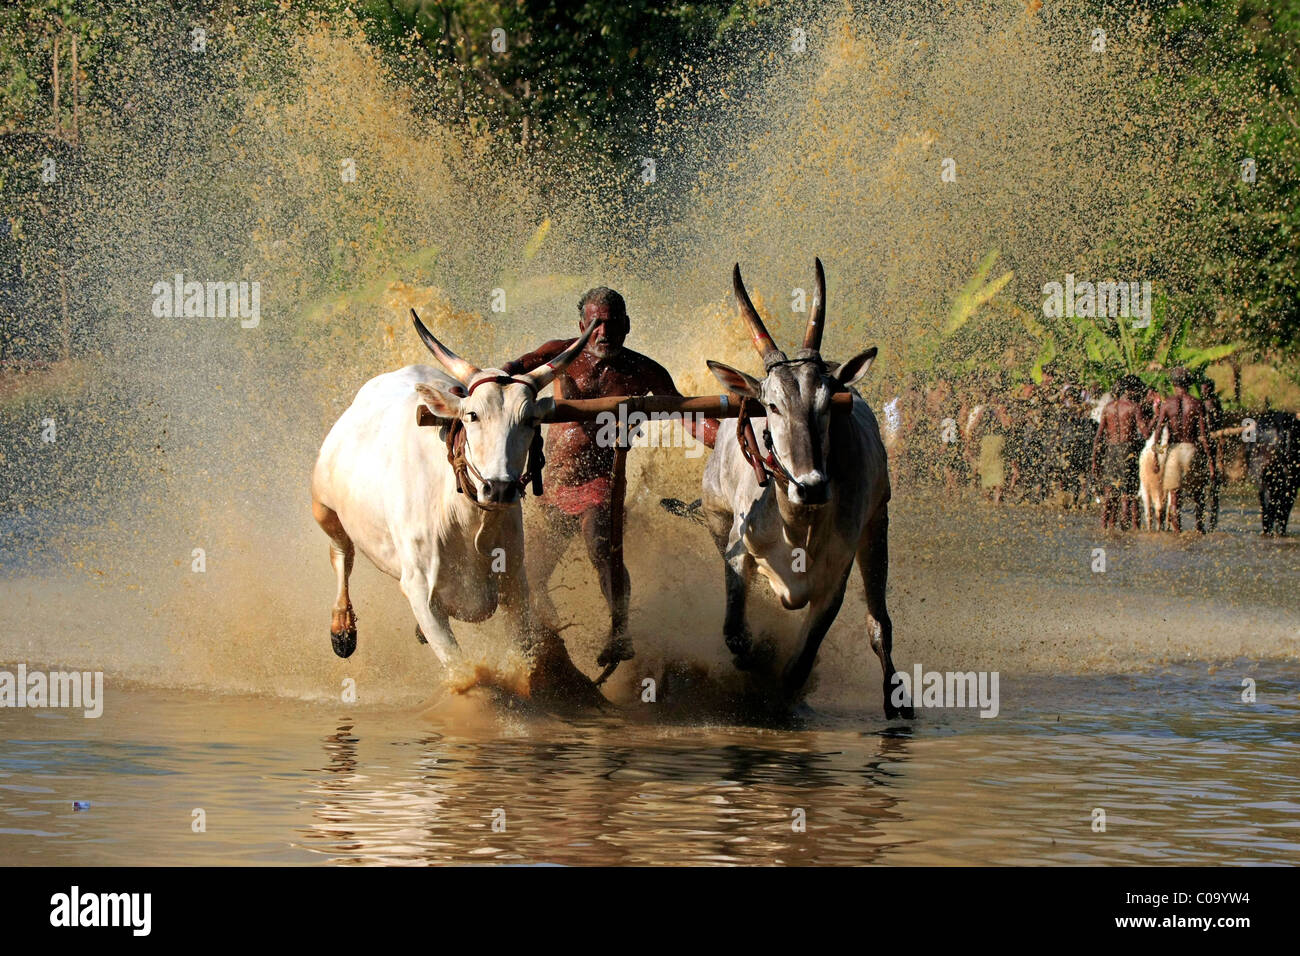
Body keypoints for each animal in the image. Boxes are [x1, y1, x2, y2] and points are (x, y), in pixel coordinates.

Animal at [310, 312, 601, 703]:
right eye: (472, 415)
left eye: (529, 419)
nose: (499, 487)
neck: (466, 519)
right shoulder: (421, 590)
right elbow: (463, 671)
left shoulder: (515, 583)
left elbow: (523, 656)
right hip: (324, 507)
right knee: (342, 554)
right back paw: (342, 628)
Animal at [699, 260, 912, 719]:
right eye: (772, 405)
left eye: (828, 402)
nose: (811, 487)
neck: (798, 526)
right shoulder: (737, 547)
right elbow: (736, 636)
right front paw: (757, 661)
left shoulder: (836, 575)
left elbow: (800, 665)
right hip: (715, 516)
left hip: (878, 524)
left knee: (879, 625)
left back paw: (896, 701)